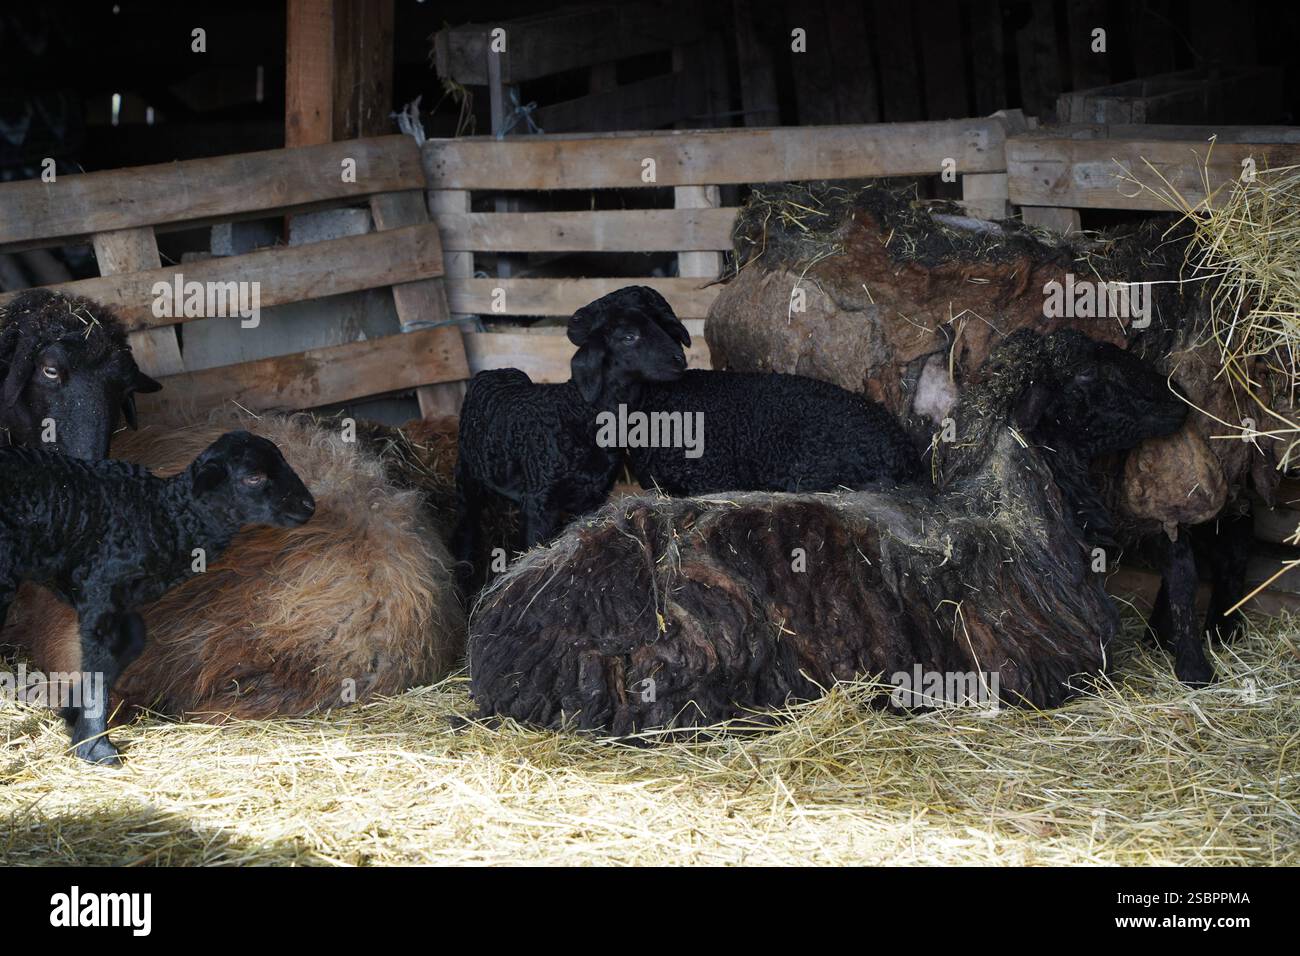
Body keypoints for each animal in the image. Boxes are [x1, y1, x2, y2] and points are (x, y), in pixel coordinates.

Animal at [0, 430, 314, 763]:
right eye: (254, 477)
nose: (309, 506)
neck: (166, 517)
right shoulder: (99, 592)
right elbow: (100, 664)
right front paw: (96, 746)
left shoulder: (118, 603)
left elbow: (129, 646)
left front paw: (75, 717)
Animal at [567, 286, 921, 497]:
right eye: (627, 334)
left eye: (656, 326)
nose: (677, 359)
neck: (659, 404)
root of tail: (903, 446)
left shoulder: (710, 478)